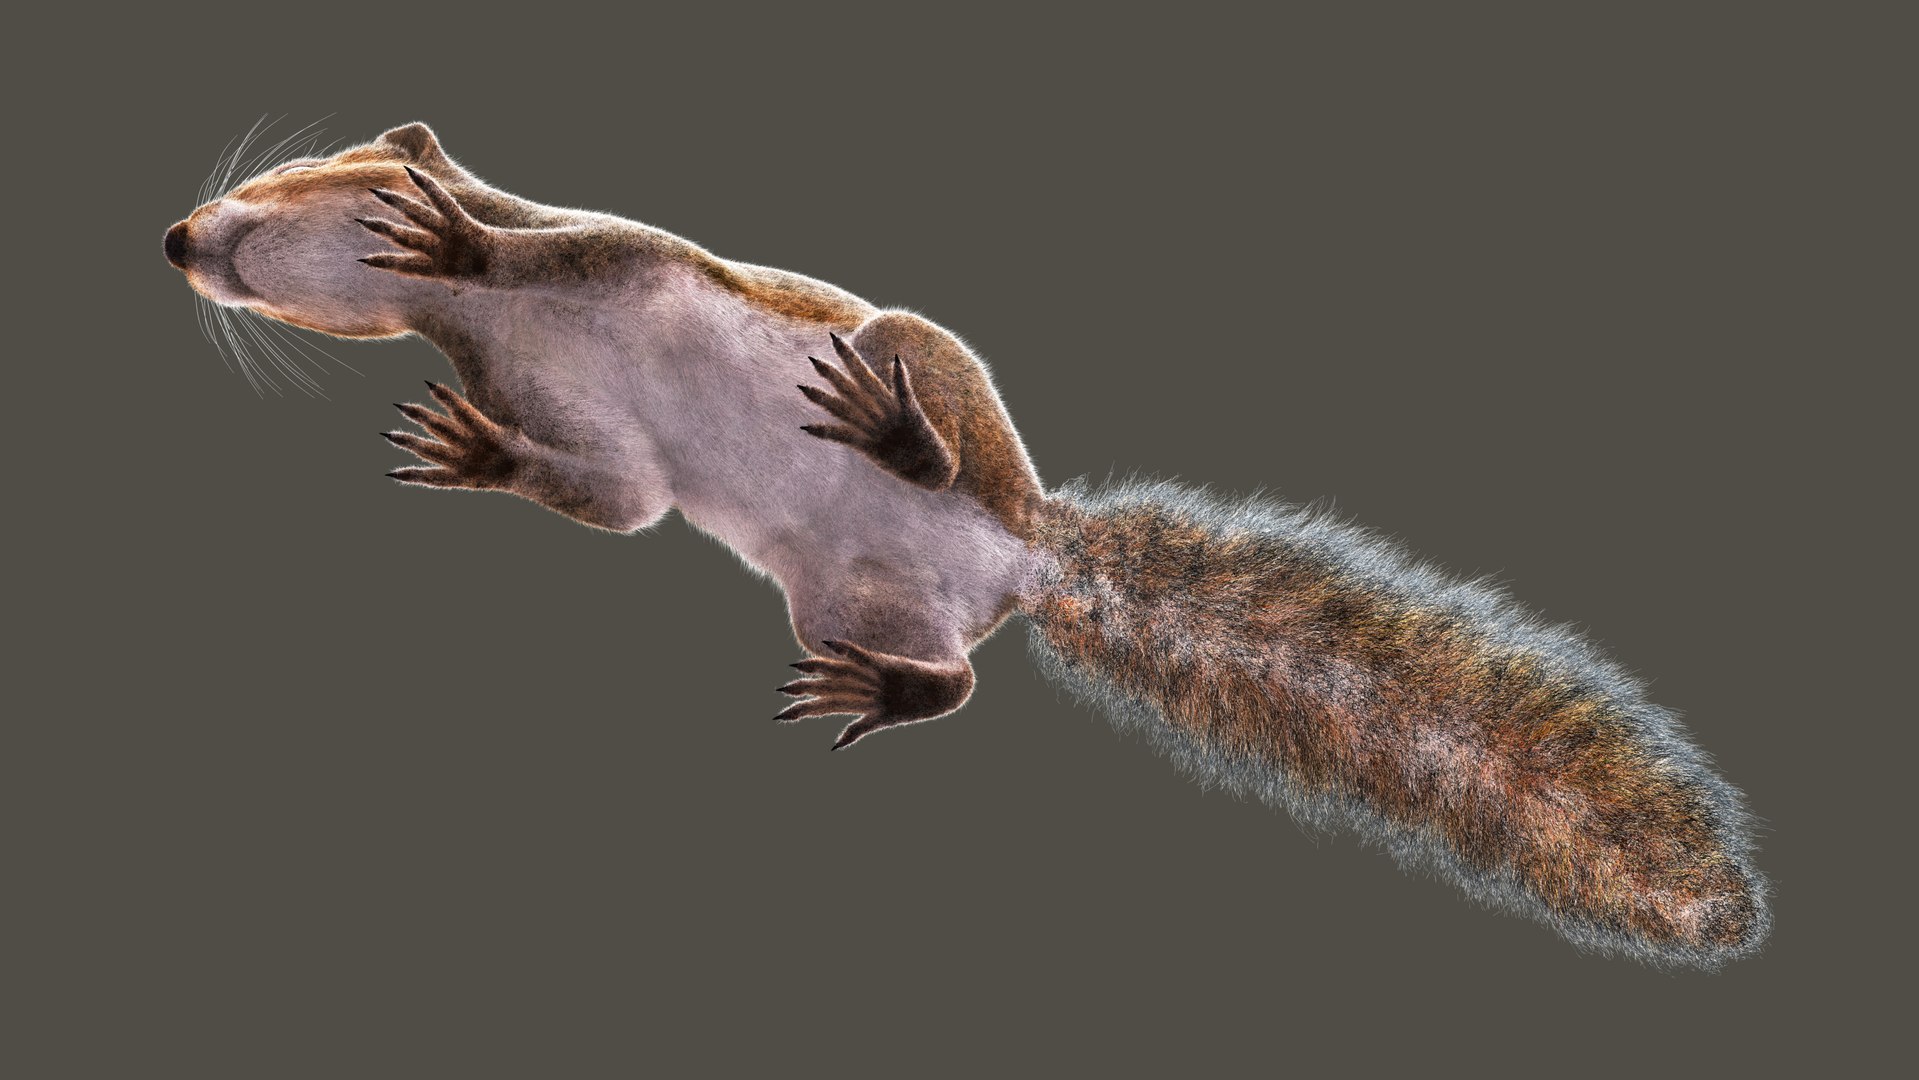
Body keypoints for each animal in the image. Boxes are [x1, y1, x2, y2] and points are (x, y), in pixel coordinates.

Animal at [165, 122, 1769, 969]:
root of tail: (1022, 566)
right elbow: (607, 499)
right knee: (953, 687)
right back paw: (877, 688)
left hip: (924, 358)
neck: (477, 331)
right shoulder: (595, 450)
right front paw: (465, 450)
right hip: (833, 600)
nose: (181, 237)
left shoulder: (610, 254)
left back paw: (893, 440)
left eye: (306, 171)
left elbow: (521, 249)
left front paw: (447, 237)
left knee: (935, 440)